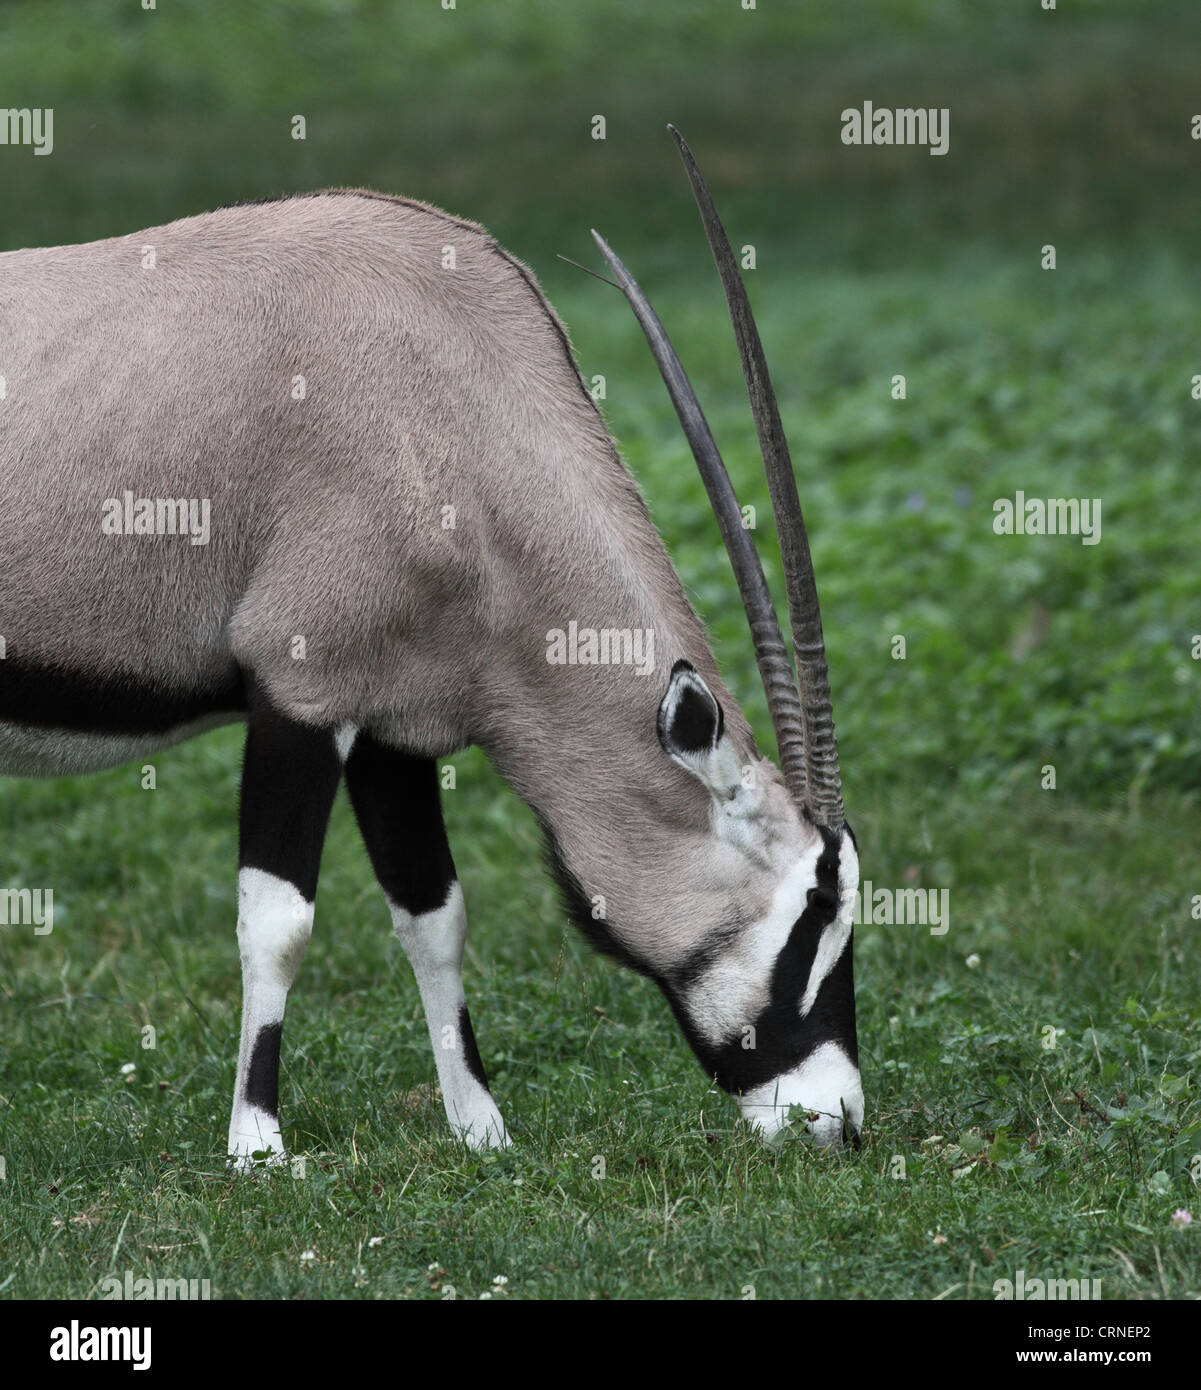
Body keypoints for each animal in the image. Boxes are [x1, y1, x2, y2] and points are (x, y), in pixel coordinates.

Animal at [0, 127, 862, 1165]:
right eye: (815, 905)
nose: (840, 1118)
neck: (453, 409)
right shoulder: (301, 692)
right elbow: (277, 921)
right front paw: (257, 1145)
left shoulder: (392, 722)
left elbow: (435, 916)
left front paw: (479, 1127)